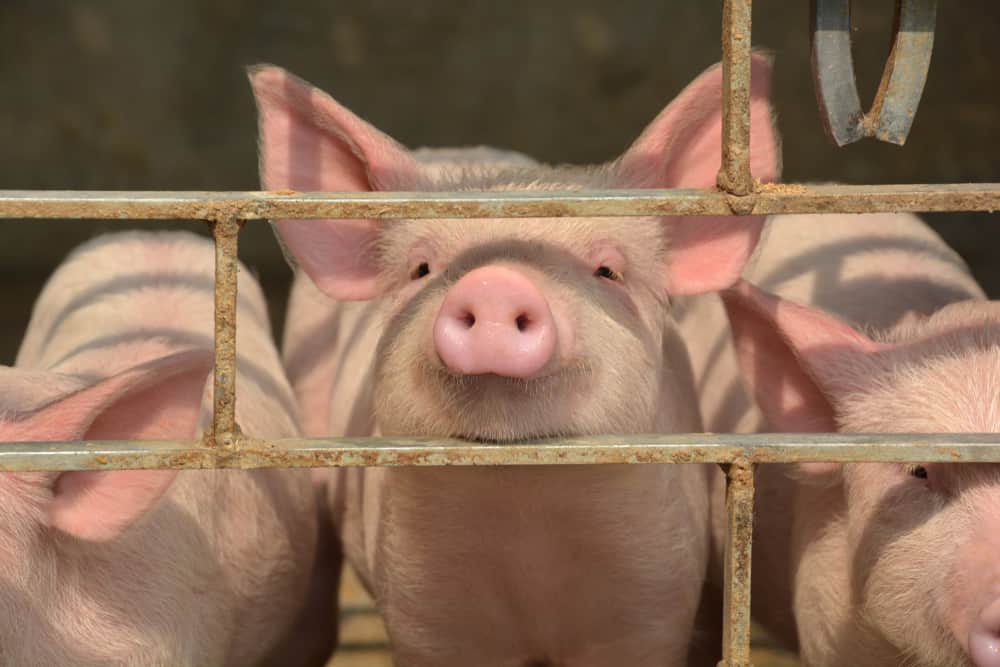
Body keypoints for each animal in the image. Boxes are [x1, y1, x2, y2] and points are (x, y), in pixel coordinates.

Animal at [251, 55, 780, 666]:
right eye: (421, 270)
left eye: (608, 271)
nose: (495, 280)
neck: (525, 513)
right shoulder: (421, 612)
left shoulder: (651, 602)